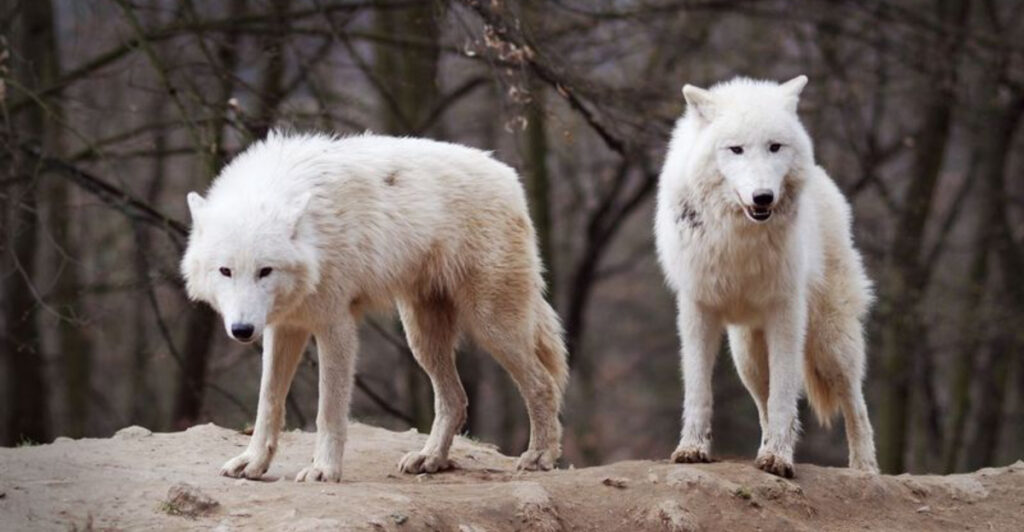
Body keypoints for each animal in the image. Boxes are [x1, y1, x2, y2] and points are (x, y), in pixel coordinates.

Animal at [181, 132, 567, 482]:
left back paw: (539, 456)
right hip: (421, 338)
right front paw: (253, 462)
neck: (314, 237)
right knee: (455, 399)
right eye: (225, 271)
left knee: (542, 384)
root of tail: (509, 177)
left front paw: (324, 469)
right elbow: (268, 403)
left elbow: (329, 409)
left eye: (265, 271)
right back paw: (430, 458)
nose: (242, 330)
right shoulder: (285, 326)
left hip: (491, 326)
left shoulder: (335, 325)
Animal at [654, 76, 878, 477]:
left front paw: (778, 458)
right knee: (761, 403)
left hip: (830, 343)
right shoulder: (697, 309)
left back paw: (865, 470)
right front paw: (691, 449)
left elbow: (785, 396)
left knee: (856, 404)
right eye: (736, 149)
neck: (740, 238)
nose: (763, 197)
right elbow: (698, 390)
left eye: (775, 147)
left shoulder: (785, 312)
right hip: (748, 358)